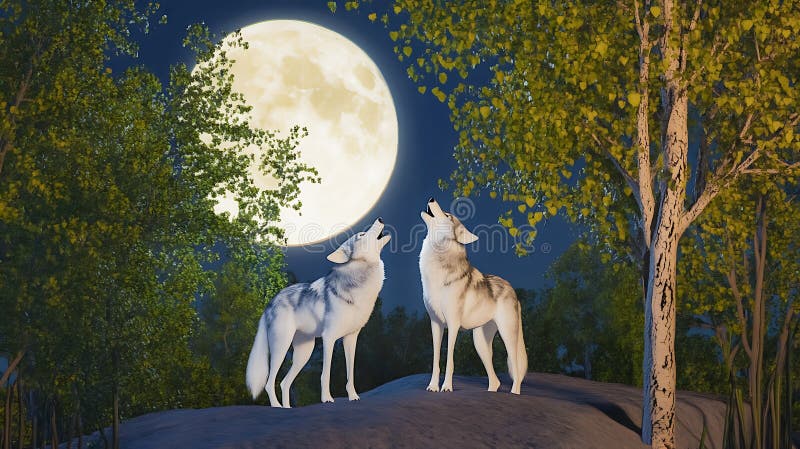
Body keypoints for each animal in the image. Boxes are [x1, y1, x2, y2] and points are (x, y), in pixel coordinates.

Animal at [246, 218, 391, 407]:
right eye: (362, 234)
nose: (380, 219)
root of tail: (269, 303)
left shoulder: (351, 339)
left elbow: (350, 374)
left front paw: (353, 397)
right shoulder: (329, 338)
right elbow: (325, 374)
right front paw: (327, 398)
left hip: (304, 353)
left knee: (284, 383)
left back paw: (287, 408)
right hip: (281, 348)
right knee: (270, 383)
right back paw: (277, 407)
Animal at [419, 198, 527, 394]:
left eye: (447, 215)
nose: (431, 199)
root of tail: (512, 290)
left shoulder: (453, 325)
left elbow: (449, 361)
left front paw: (446, 387)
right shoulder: (436, 324)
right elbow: (435, 361)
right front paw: (433, 386)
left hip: (508, 337)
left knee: (515, 369)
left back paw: (514, 394)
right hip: (480, 344)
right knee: (495, 380)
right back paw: (491, 392)